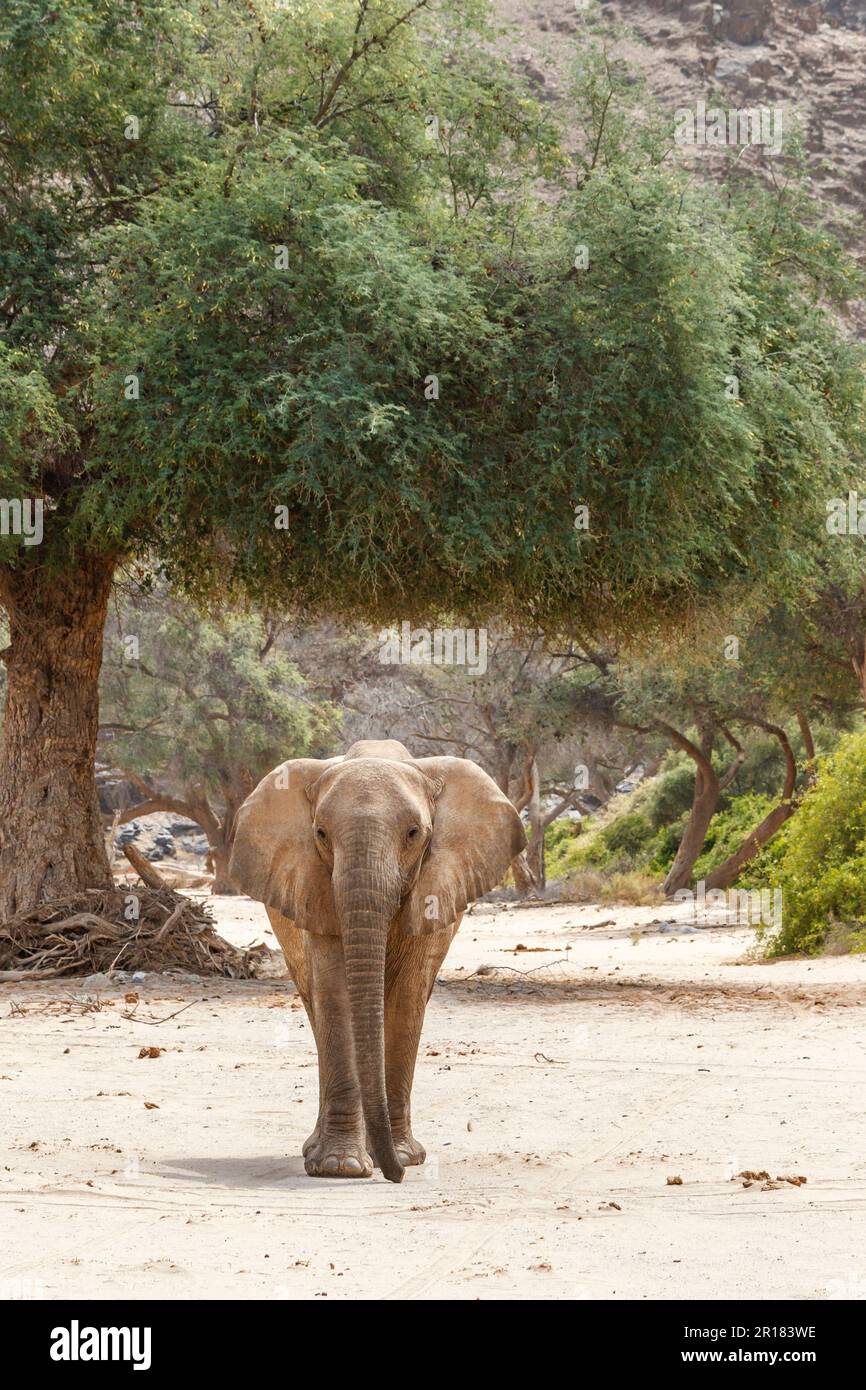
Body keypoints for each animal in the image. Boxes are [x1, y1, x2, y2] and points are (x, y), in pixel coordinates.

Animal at [229, 739, 526, 1183]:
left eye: (413, 833)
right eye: (320, 833)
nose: (395, 1176)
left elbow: (407, 998)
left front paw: (402, 1157)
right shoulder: (315, 888)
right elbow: (336, 996)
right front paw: (341, 1167)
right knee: (317, 1008)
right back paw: (319, 1150)